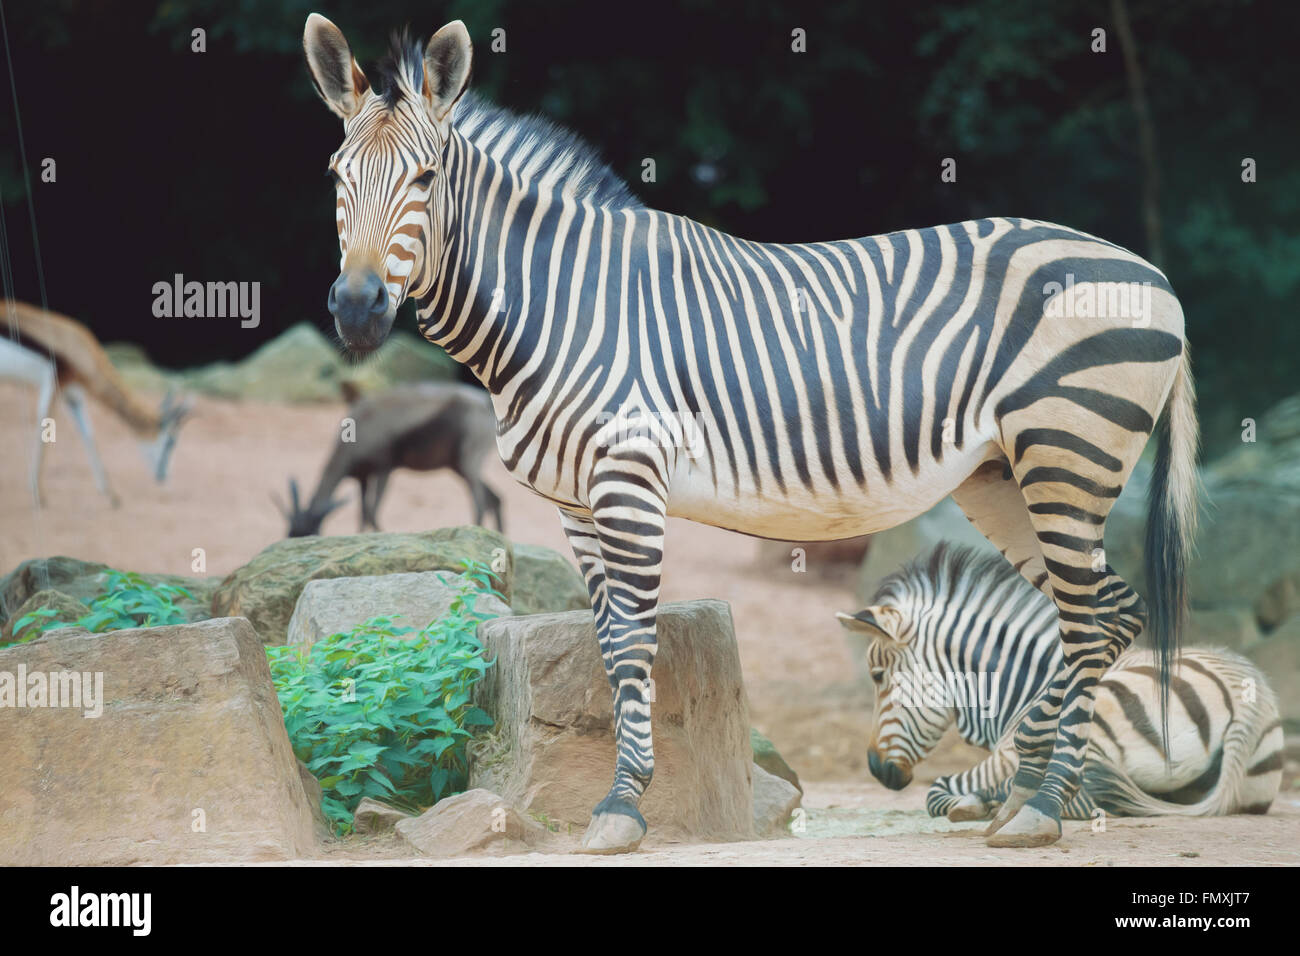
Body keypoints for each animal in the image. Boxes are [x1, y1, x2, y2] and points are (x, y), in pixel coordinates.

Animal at [302, 16, 1199, 851]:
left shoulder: (629, 477)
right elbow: (605, 645)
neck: (556, 305)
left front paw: (623, 807)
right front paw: (620, 798)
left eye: (425, 178)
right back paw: (1025, 791)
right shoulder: (574, 503)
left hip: (1067, 454)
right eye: (336, 176)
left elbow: (632, 645)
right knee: (1110, 611)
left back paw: (1042, 805)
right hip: (1005, 475)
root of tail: (1152, 274)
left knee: (1087, 619)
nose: (356, 308)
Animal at [837, 544, 1283, 821]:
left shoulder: (1010, 750)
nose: (874, 768)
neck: (1026, 681)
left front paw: (973, 804)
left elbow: (938, 790)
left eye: (877, 676)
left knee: (1080, 798)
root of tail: (1250, 694)